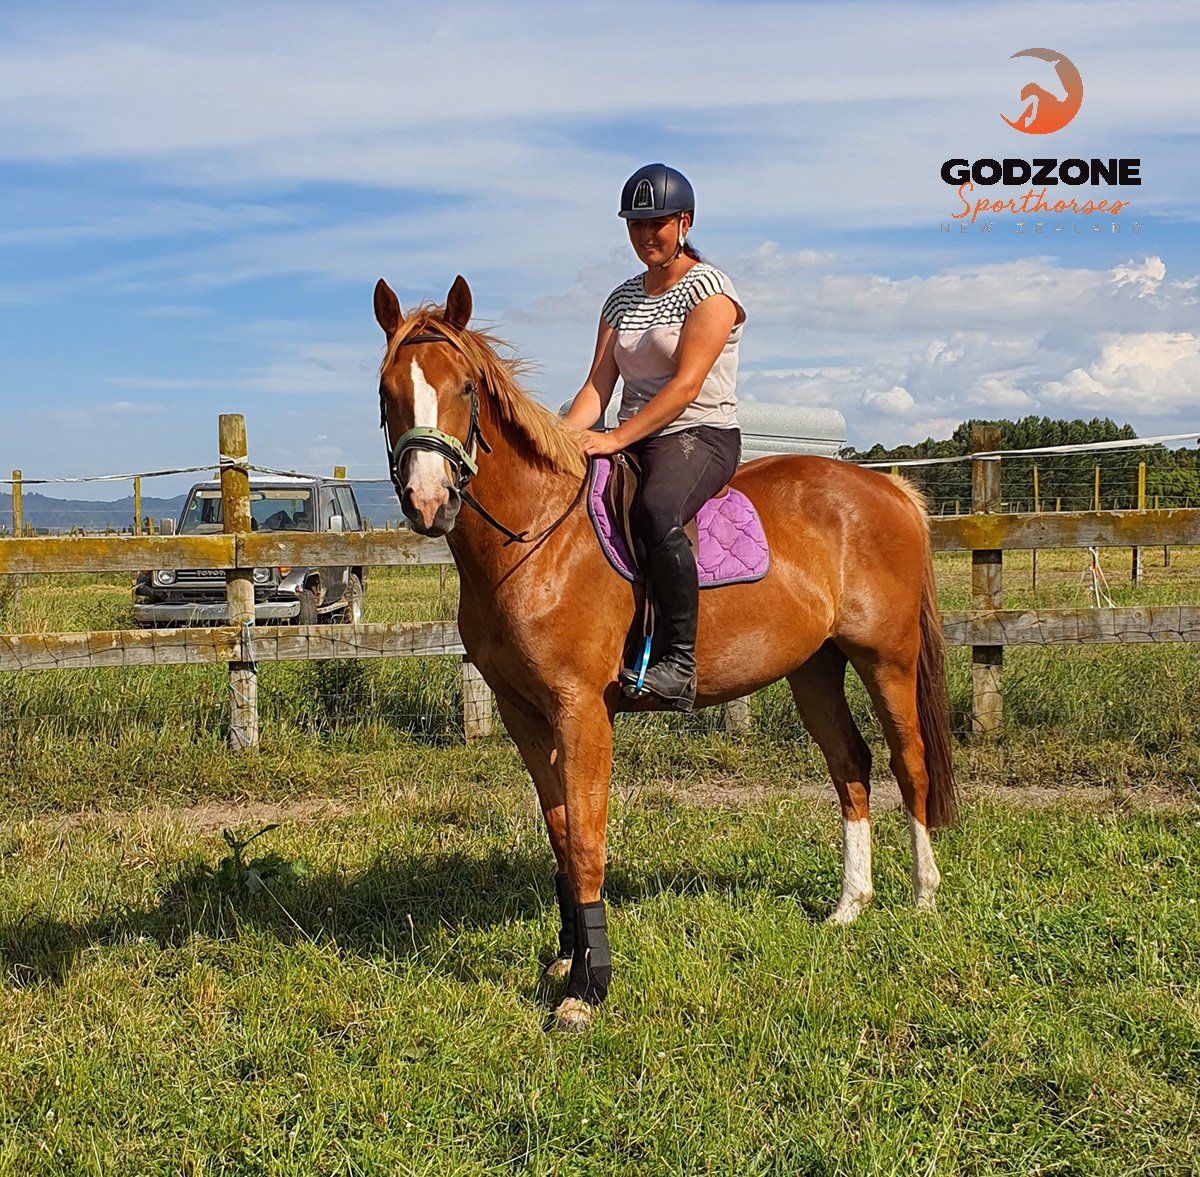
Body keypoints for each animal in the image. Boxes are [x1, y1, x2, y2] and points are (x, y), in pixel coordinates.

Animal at [374, 275, 957, 1033]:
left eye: (467, 387)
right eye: (387, 390)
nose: (428, 499)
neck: (535, 538)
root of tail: (889, 488)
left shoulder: (582, 710)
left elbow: (587, 840)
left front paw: (586, 989)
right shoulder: (523, 713)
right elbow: (559, 832)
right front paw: (566, 959)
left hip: (886, 658)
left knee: (908, 764)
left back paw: (923, 896)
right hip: (814, 667)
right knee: (850, 768)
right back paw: (848, 907)